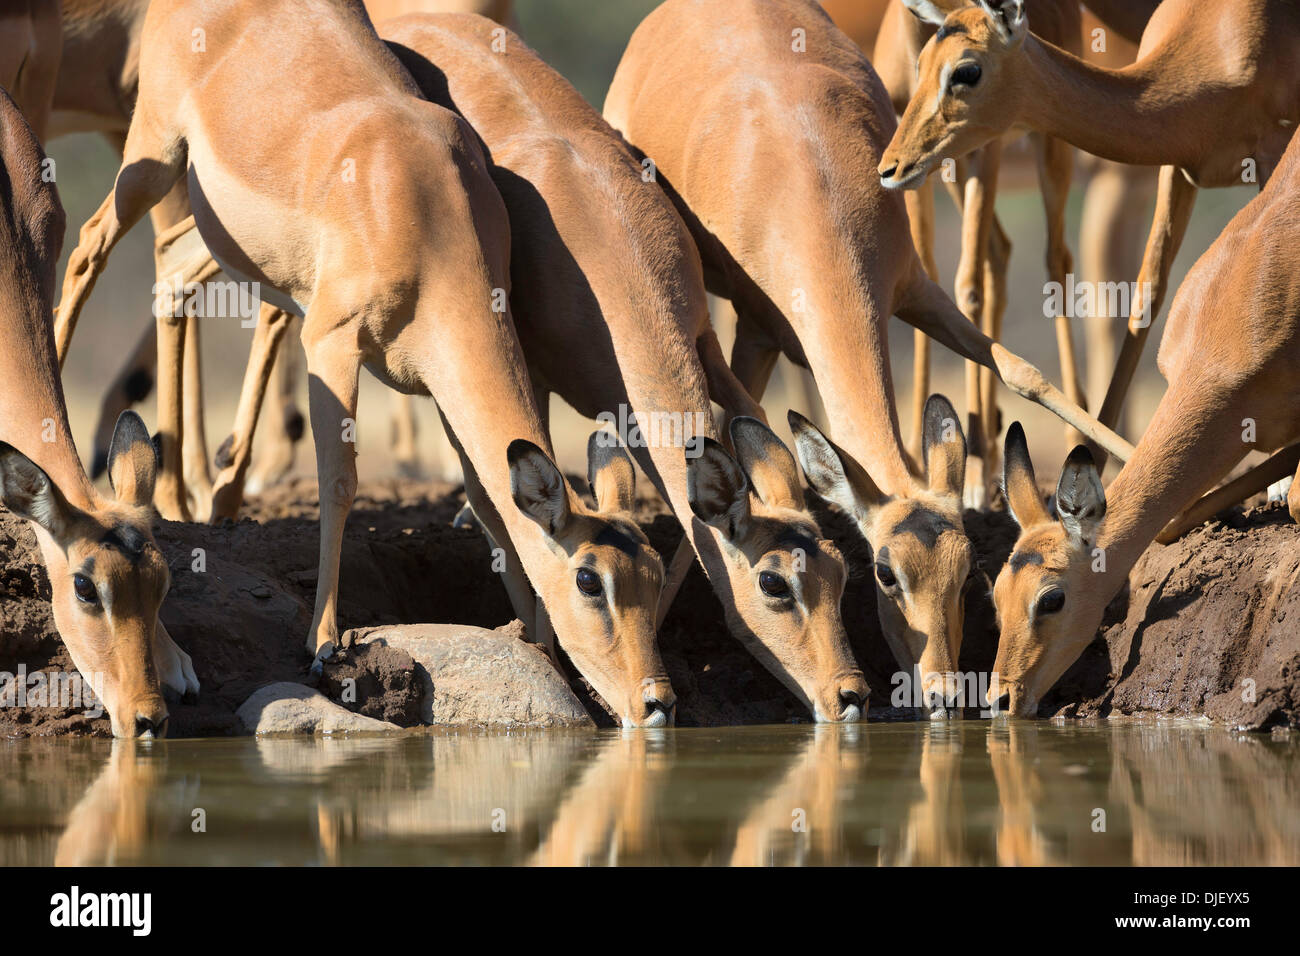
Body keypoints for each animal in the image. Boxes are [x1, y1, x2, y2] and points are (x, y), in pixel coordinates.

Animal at [49, 0, 674, 728]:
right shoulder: (332, 345)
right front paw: (323, 643)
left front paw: (537, 642)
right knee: (89, 245)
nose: (656, 701)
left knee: (171, 267)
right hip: (151, 156)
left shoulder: (437, 385)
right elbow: (340, 481)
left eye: (654, 573)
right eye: (589, 580)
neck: (425, 212)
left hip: (212, 231)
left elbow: (489, 503)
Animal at [222, 11, 869, 722]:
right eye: (775, 583)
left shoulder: (701, 344)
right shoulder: (530, 369)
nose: (851, 694)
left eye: (842, 570)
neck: (607, 246)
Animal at [606, 0, 1132, 714]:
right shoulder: (757, 328)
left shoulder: (916, 290)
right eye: (883, 573)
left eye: (970, 571)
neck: (807, 190)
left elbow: (1025, 375)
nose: (944, 690)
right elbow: (737, 437)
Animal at [880, 0, 1300, 473]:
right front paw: (1096, 460)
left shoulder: (1271, 152)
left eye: (966, 70)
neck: (1219, 43)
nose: (891, 167)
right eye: (921, 63)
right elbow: (1144, 297)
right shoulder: (1178, 169)